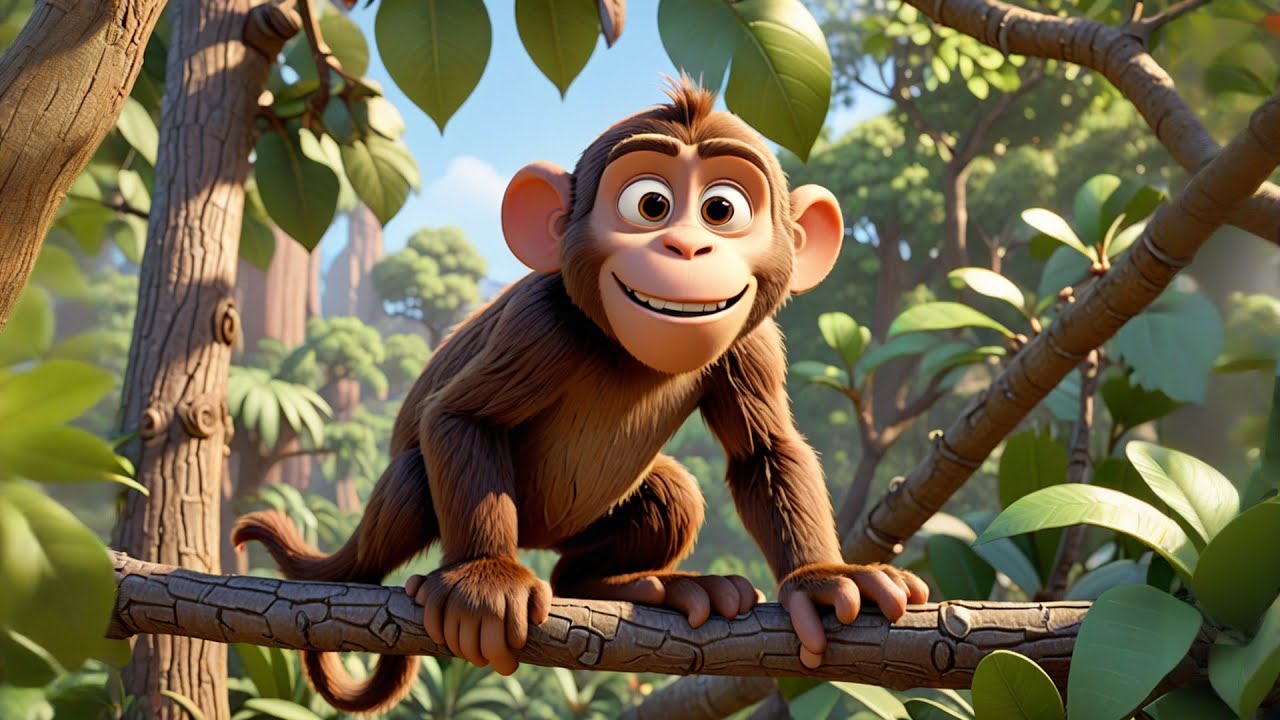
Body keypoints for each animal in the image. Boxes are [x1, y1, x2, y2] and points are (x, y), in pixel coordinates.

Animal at [233, 76, 930, 714]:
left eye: (722, 209)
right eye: (649, 204)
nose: (688, 246)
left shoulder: (749, 342)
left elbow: (764, 453)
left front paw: (821, 582)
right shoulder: (540, 323)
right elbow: (460, 416)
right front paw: (485, 583)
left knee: (662, 502)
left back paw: (647, 586)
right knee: (411, 477)